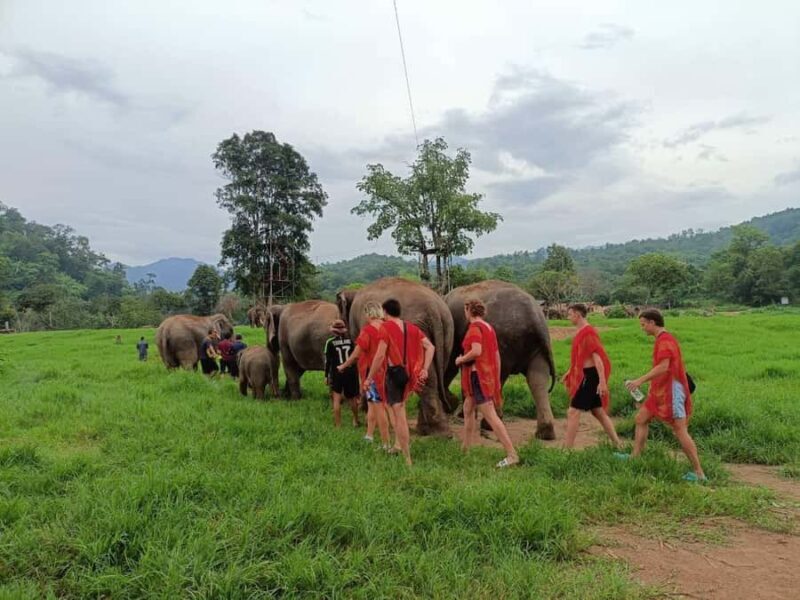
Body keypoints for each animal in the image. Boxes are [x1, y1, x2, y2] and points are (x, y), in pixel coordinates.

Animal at [444, 280, 557, 440]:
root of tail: (535, 319)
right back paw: (545, 433)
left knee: (499, 375)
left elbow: (453, 363)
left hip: (503, 341)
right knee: (538, 379)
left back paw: (489, 425)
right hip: (537, 348)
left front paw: (459, 412)